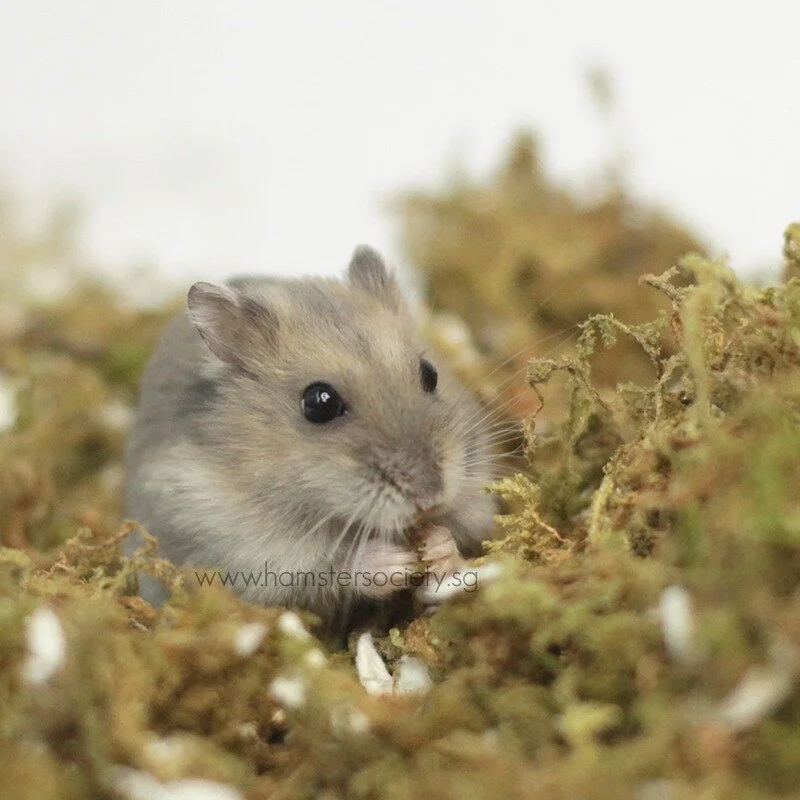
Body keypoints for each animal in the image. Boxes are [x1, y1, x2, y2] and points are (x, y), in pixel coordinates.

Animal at [124, 246, 496, 623]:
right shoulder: (247, 550)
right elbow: (328, 567)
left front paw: (437, 544)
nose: (431, 497)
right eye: (319, 403)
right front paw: (394, 562)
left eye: (430, 373)